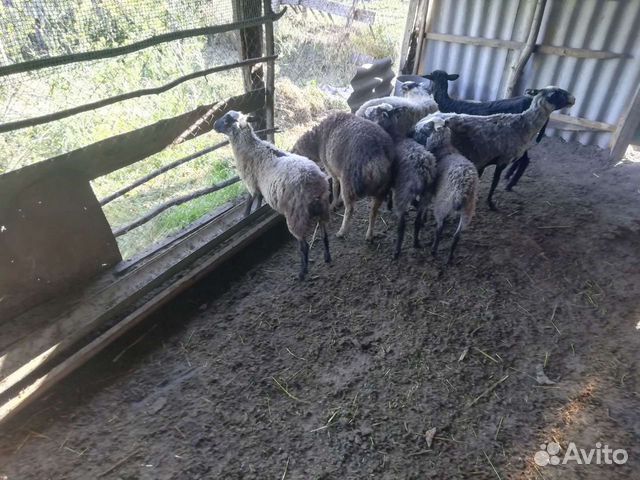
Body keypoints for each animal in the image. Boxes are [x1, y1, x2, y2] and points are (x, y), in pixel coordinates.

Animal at [213, 111, 331, 280]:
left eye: (227, 119)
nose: (213, 125)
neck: (251, 146)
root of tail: (314, 183)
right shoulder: (260, 186)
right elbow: (259, 199)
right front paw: (255, 212)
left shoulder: (251, 182)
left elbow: (250, 200)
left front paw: (246, 216)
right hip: (323, 208)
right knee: (324, 234)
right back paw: (327, 258)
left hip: (297, 215)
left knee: (304, 246)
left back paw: (302, 273)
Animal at [292, 111, 395, 242]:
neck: (317, 141)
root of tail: (376, 156)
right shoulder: (339, 173)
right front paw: (339, 201)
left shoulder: (332, 170)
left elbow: (335, 187)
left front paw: (334, 204)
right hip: (382, 189)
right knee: (373, 212)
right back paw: (369, 235)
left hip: (349, 182)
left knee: (350, 209)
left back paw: (342, 231)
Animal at [362, 103, 437, 258]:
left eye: (376, 110)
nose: (366, 111)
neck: (395, 137)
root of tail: (423, 168)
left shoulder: (392, 180)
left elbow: (390, 192)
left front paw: (389, 204)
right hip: (427, 193)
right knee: (417, 221)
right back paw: (416, 242)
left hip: (403, 192)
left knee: (402, 225)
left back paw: (397, 251)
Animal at [413, 86, 575, 210]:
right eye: (557, 93)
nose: (573, 99)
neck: (524, 125)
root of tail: (418, 125)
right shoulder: (503, 159)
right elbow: (495, 182)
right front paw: (491, 204)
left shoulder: (484, 160)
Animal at [417, 117, 478, 263]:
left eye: (428, 125)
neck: (444, 149)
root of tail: (463, 187)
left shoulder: (432, 191)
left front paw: (423, 219)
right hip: (468, 210)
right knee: (457, 236)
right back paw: (450, 258)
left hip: (443, 203)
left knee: (440, 228)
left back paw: (433, 250)